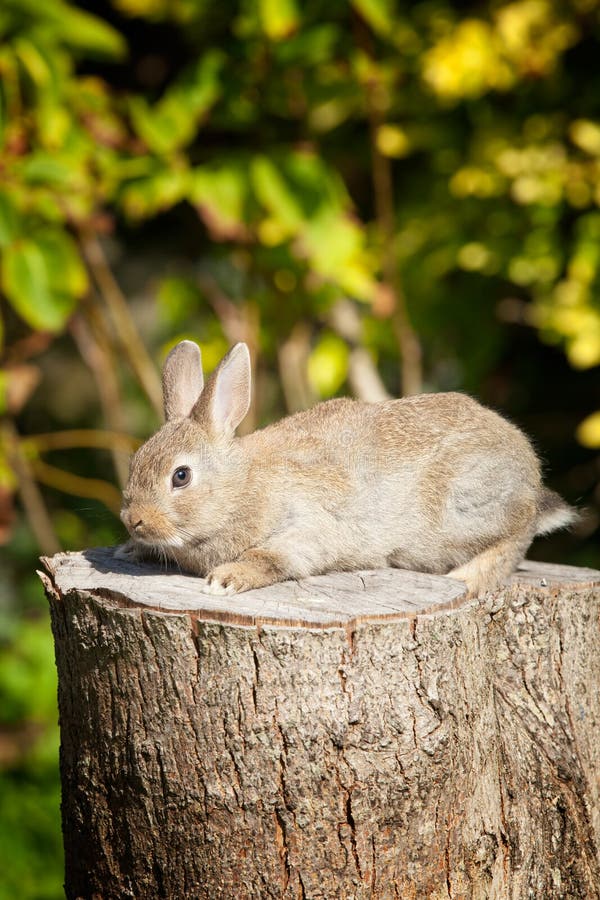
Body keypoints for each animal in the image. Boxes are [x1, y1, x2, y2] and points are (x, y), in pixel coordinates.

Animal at [117, 340, 577, 597]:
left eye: (181, 476)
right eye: (135, 463)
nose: (133, 520)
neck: (239, 489)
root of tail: (529, 476)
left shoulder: (310, 527)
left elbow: (276, 555)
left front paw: (227, 578)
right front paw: (129, 551)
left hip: (469, 504)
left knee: (514, 537)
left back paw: (466, 578)